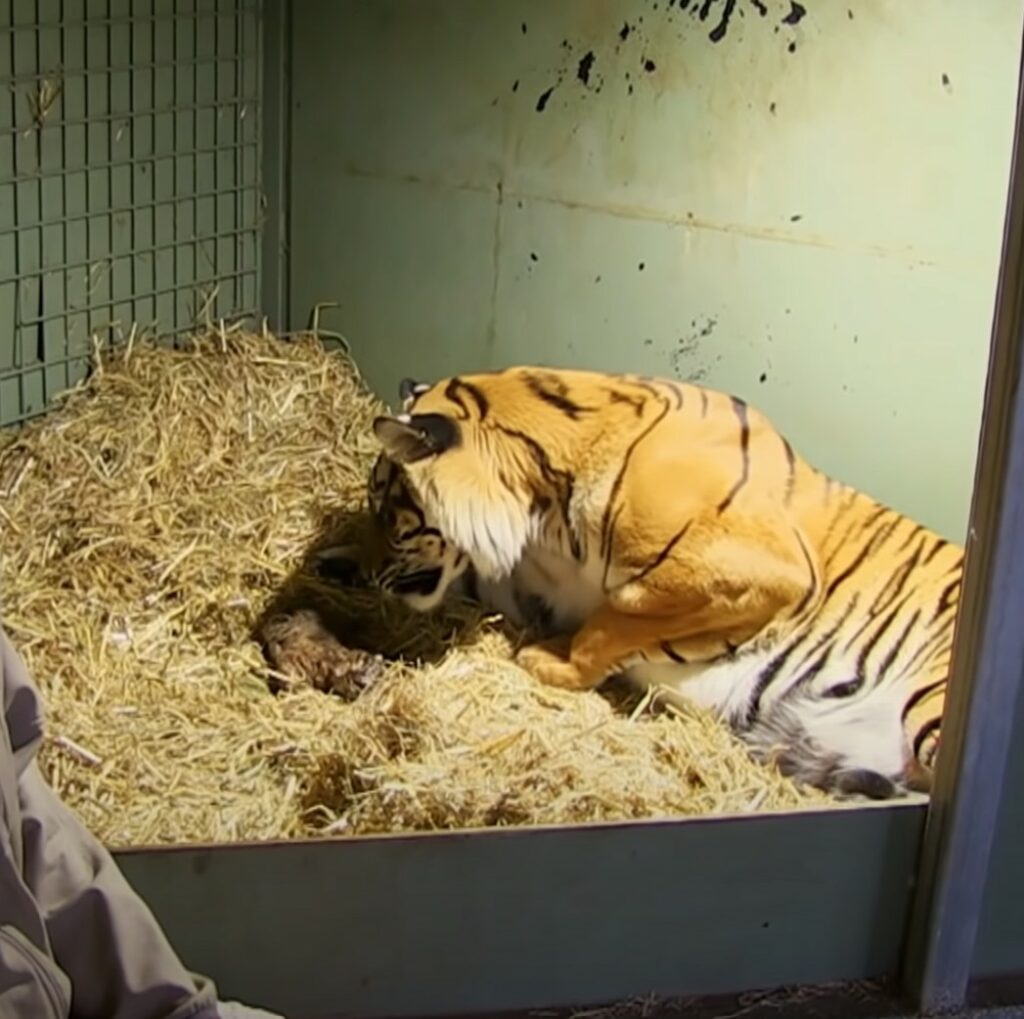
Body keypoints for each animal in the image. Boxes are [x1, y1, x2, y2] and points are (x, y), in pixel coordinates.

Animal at [327, 367, 963, 800]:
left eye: (386, 507)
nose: (371, 571)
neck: (545, 512)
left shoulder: (756, 575)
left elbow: (613, 620)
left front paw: (550, 662)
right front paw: (332, 566)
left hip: (930, 709)